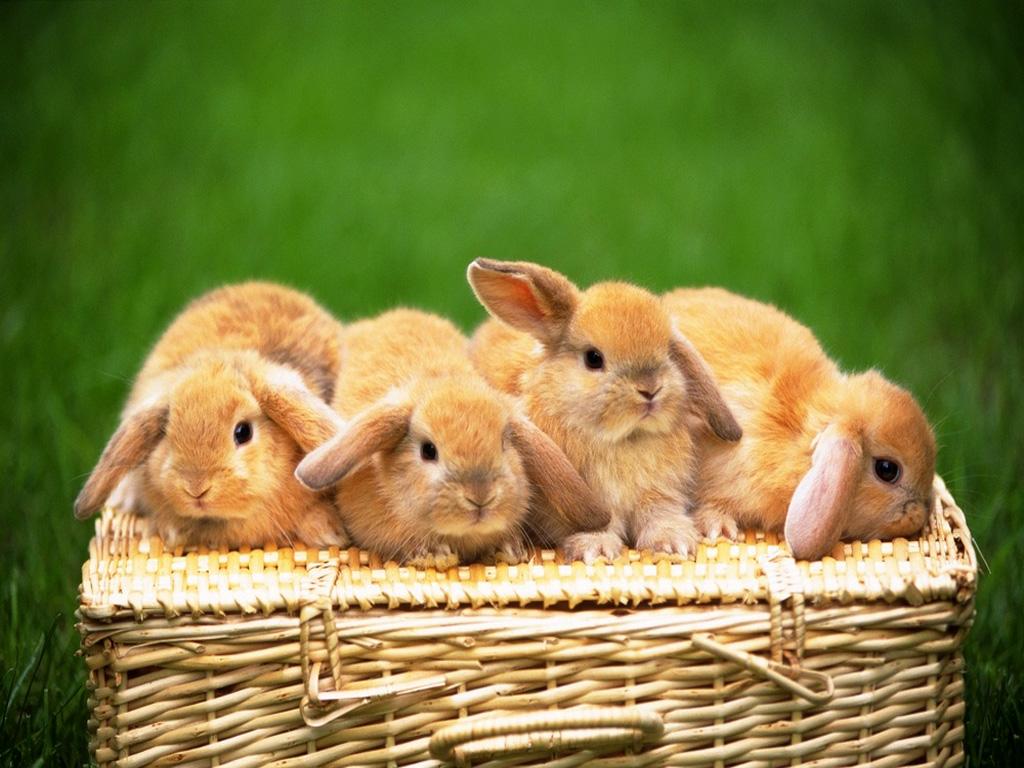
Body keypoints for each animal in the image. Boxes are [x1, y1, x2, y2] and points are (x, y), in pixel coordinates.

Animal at [466, 259, 742, 563]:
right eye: (593, 358)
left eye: (667, 352)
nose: (650, 389)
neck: (624, 439)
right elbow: (599, 526)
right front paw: (595, 550)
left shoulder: (659, 494)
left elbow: (659, 515)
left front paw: (674, 543)